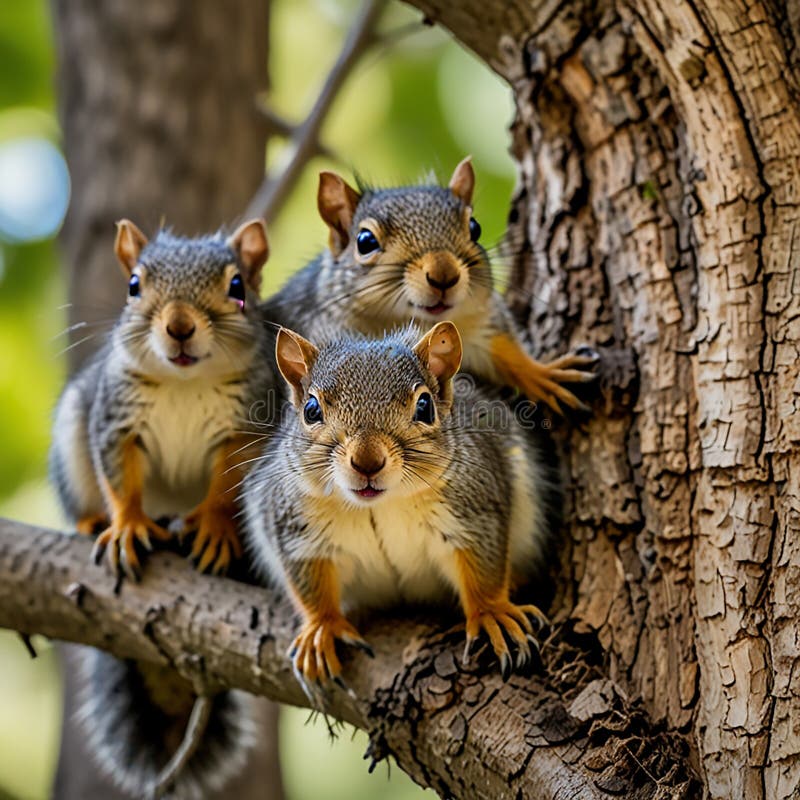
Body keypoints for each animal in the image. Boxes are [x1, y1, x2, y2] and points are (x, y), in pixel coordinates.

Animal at [49, 219, 273, 797]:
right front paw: (127, 526)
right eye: (133, 285)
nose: (178, 327)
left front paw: (214, 529)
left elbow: (225, 486)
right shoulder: (114, 420)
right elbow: (120, 478)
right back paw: (96, 522)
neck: (184, 382)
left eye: (238, 286)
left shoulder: (243, 429)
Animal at [243, 321, 562, 689]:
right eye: (311, 410)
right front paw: (322, 629)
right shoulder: (297, 530)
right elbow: (310, 584)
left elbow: (484, 569)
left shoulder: (475, 511)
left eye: (425, 406)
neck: (380, 505)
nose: (367, 462)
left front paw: (492, 614)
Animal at [261, 157, 596, 416]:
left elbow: (501, 347)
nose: (443, 274)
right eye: (365, 241)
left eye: (475, 228)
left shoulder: (479, 320)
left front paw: (542, 374)